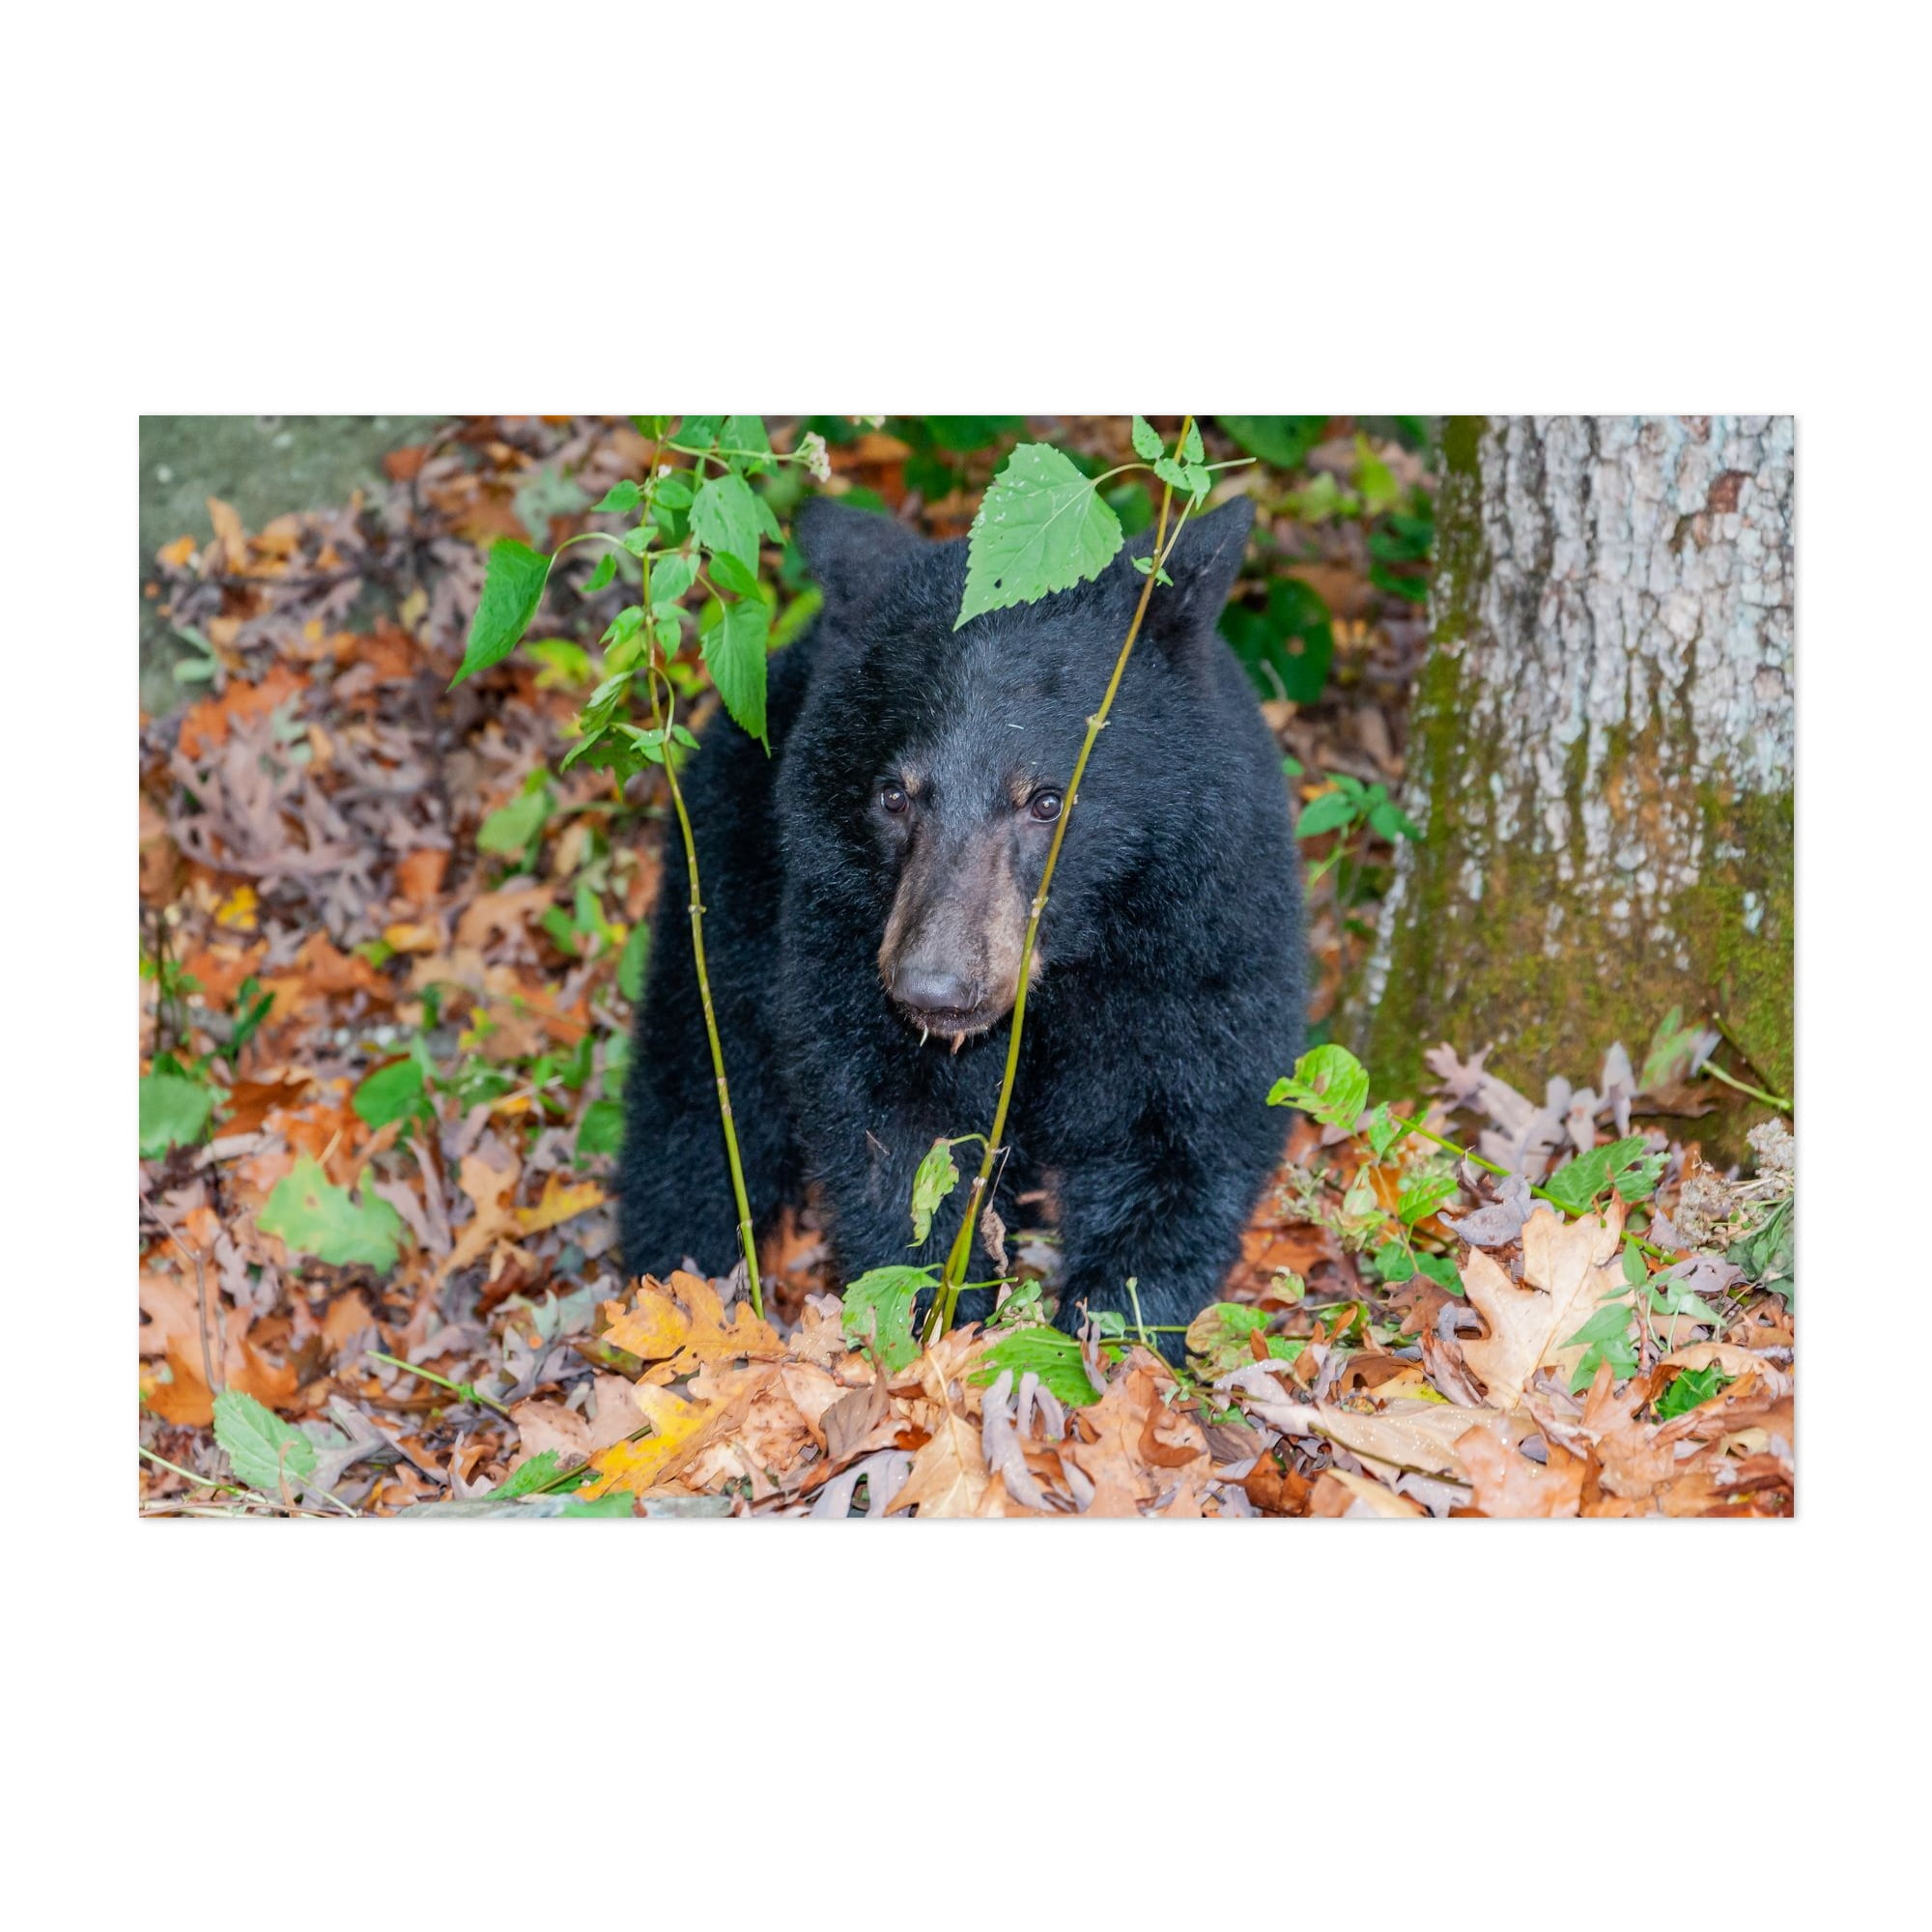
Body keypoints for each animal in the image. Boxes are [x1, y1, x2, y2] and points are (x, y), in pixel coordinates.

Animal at [618, 492, 1305, 1352]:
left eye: (1046, 800)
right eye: (894, 794)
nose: (934, 987)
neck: (1057, 984)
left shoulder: (1199, 940)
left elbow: (1182, 1129)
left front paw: (1115, 1328)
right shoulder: (839, 936)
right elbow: (899, 1143)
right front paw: (934, 1326)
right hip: (728, 867)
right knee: (700, 1081)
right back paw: (676, 1279)